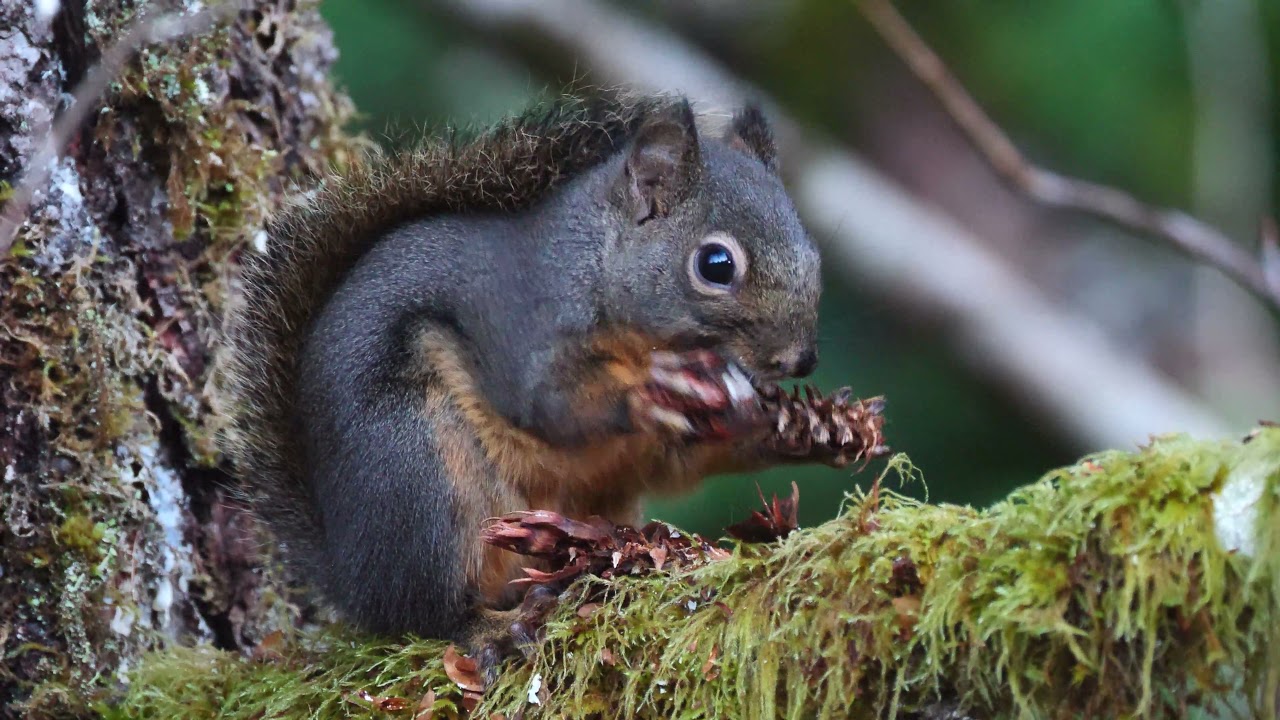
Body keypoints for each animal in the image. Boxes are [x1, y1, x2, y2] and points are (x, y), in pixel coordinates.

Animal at [218, 92, 832, 668]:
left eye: (813, 253)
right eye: (716, 265)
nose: (801, 360)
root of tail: (350, 578)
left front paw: (794, 429)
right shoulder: (520, 329)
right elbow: (546, 405)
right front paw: (644, 398)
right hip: (414, 475)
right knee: (425, 613)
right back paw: (492, 628)